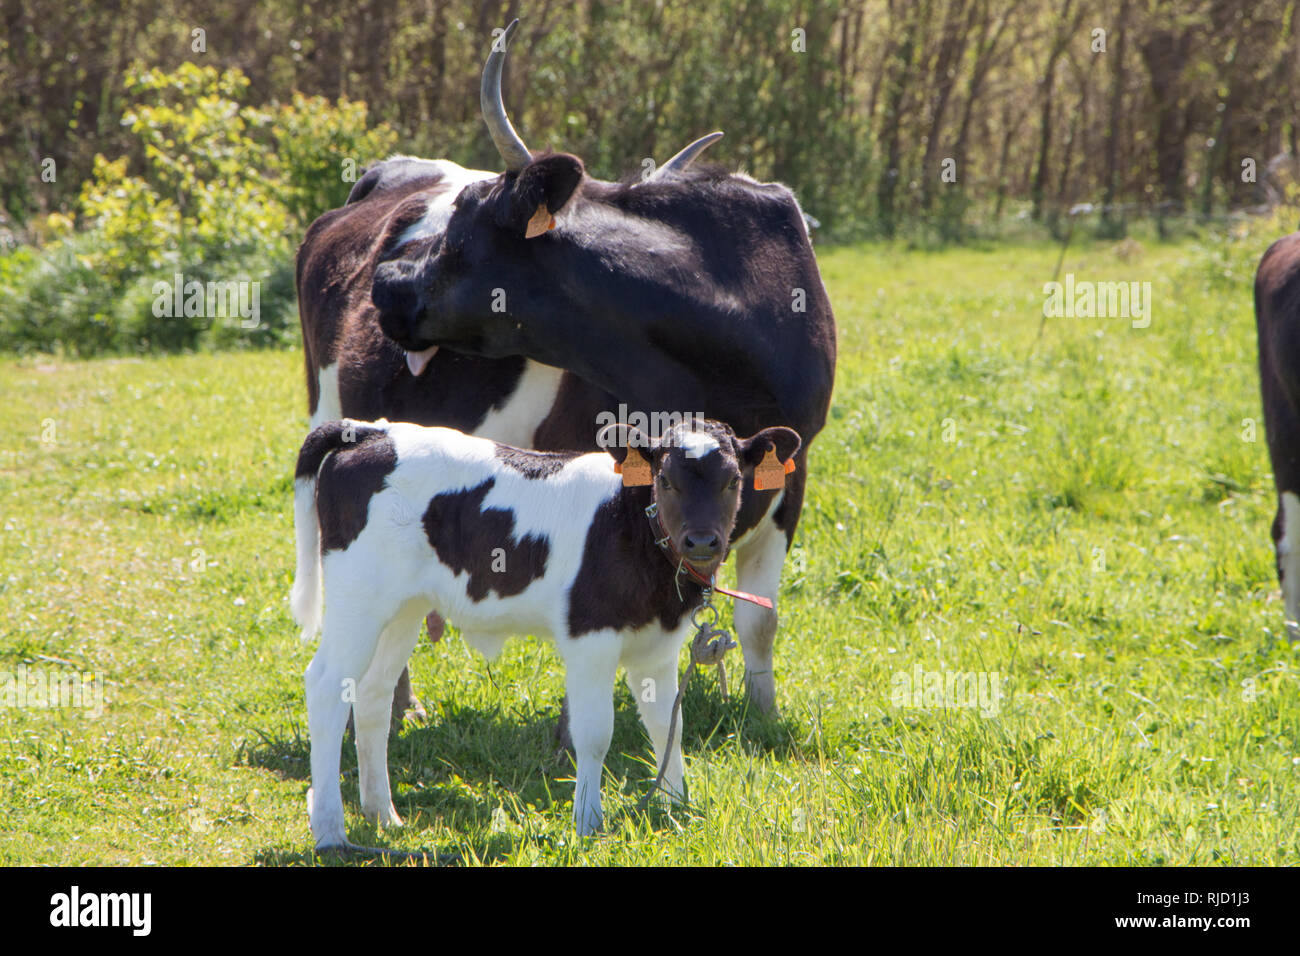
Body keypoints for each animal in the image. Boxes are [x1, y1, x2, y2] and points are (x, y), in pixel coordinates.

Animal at [291, 416, 802, 844]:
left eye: (733, 480)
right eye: (666, 479)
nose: (700, 541)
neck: (632, 524)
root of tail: (370, 431)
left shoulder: (657, 648)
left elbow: (666, 725)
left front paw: (675, 807)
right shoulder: (591, 638)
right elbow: (595, 734)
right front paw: (588, 822)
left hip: (402, 607)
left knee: (372, 695)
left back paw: (383, 814)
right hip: (358, 595)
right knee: (326, 686)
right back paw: (331, 831)